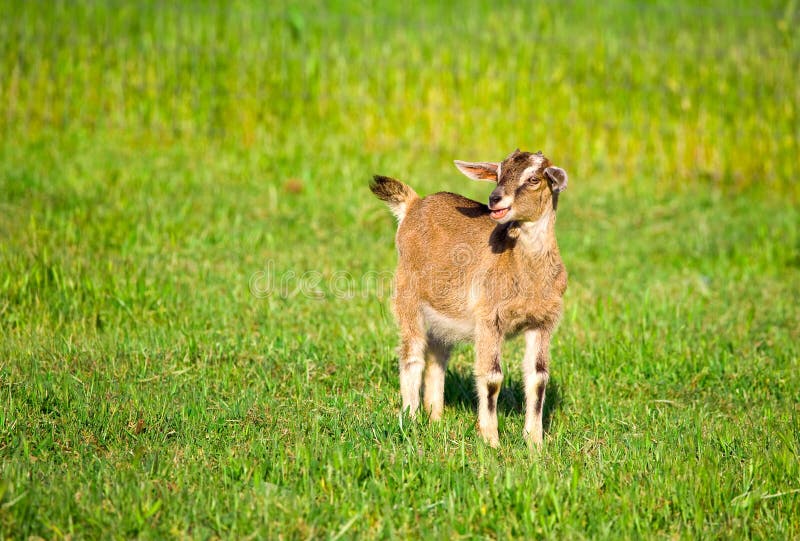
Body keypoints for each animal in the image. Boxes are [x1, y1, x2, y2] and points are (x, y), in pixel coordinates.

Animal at [370, 149, 568, 448]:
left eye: (534, 178)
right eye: (498, 174)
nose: (495, 198)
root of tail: (414, 205)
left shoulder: (543, 322)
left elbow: (538, 378)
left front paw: (535, 444)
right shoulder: (489, 319)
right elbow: (492, 377)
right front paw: (491, 440)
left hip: (443, 317)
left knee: (436, 356)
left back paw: (436, 418)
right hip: (407, 295)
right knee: (412, 353)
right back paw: (411, 418)